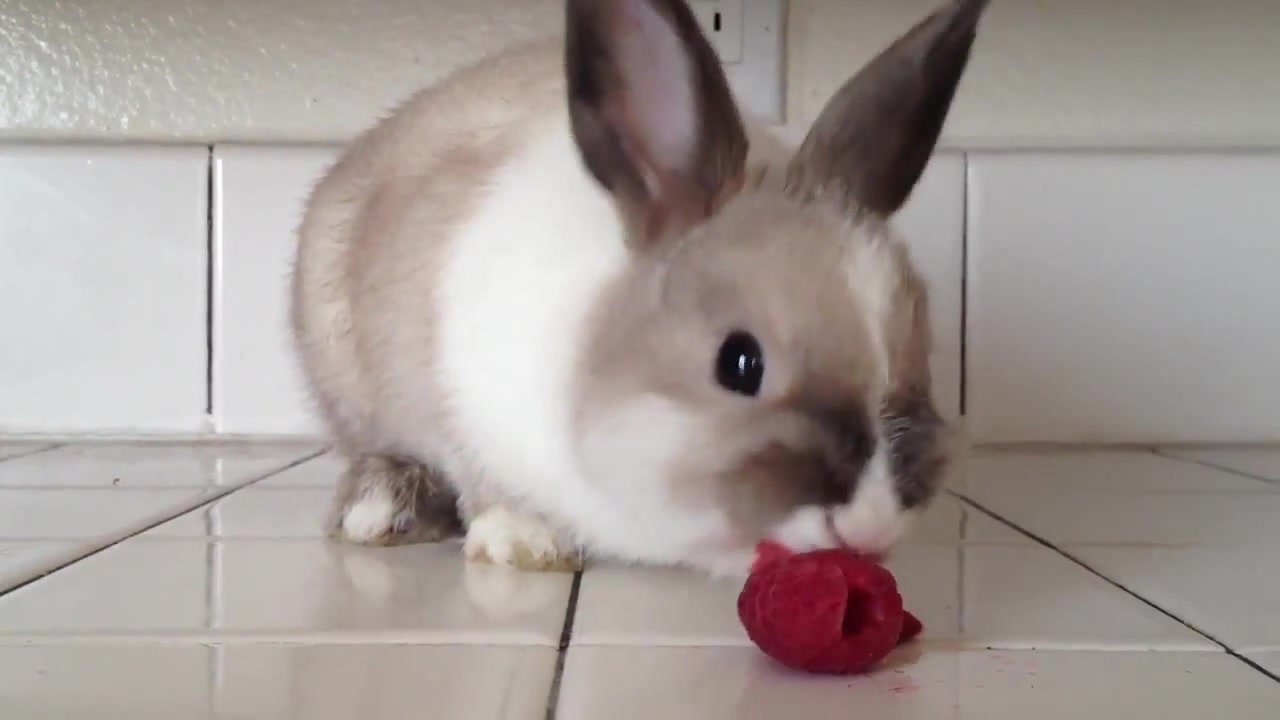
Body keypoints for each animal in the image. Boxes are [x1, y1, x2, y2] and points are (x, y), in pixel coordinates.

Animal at [289, 0, 989, 576]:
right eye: (740, 363)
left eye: (920, 360)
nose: (870, 527)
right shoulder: (458, 401)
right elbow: (483, 480)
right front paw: (526, 540)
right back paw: (382, 508)